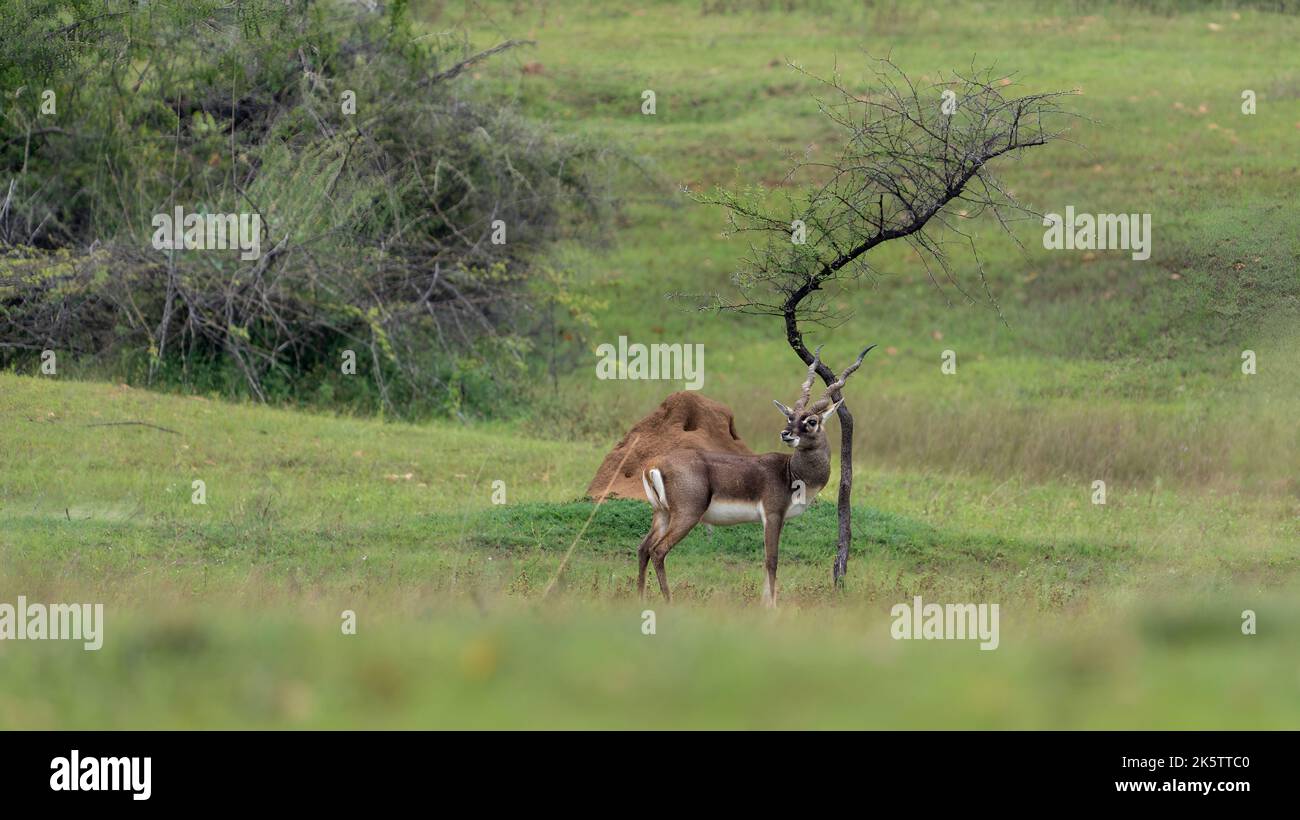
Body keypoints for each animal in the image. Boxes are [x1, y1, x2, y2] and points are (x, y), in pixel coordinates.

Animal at [637, 344, 874, 607]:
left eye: (811, 421)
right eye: (790, 417)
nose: (786, 434)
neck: (790, 472)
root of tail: (654, 464)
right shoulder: (772, 515)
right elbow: (772, 560)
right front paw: (771, 606)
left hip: (662, 513)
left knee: (643, 548)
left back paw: (640, 598)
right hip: (686, 515)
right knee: (658, 551)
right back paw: (669, 600)